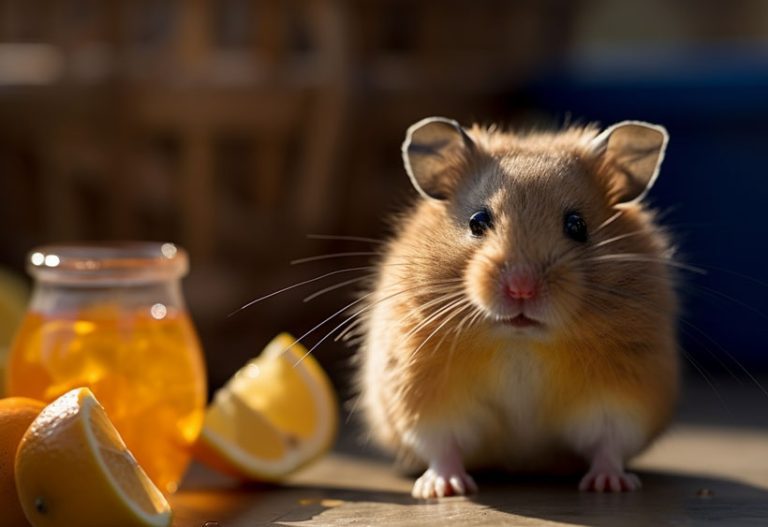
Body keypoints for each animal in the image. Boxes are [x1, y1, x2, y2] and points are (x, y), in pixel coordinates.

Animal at [356, 117, 679, 498]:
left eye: (577, 225)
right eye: (477, 221)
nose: (521, 288)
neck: (520, 341)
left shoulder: (622, 398)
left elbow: (609, 444)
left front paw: (610, 485)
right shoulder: (424, 396)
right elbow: (442, 445)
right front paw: (443, 489)